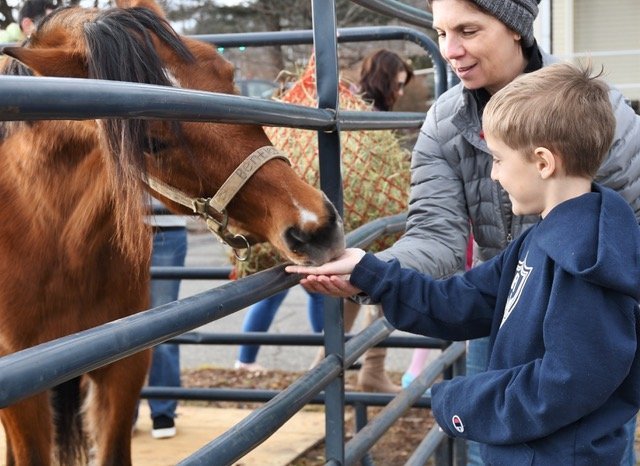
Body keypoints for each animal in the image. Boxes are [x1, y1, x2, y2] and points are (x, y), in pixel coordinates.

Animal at [0, 0, 344, 464]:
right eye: (150, 141)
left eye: (227, 73)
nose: (316, 227)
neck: (51, 243)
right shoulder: (23, 393)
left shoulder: (125, 366)